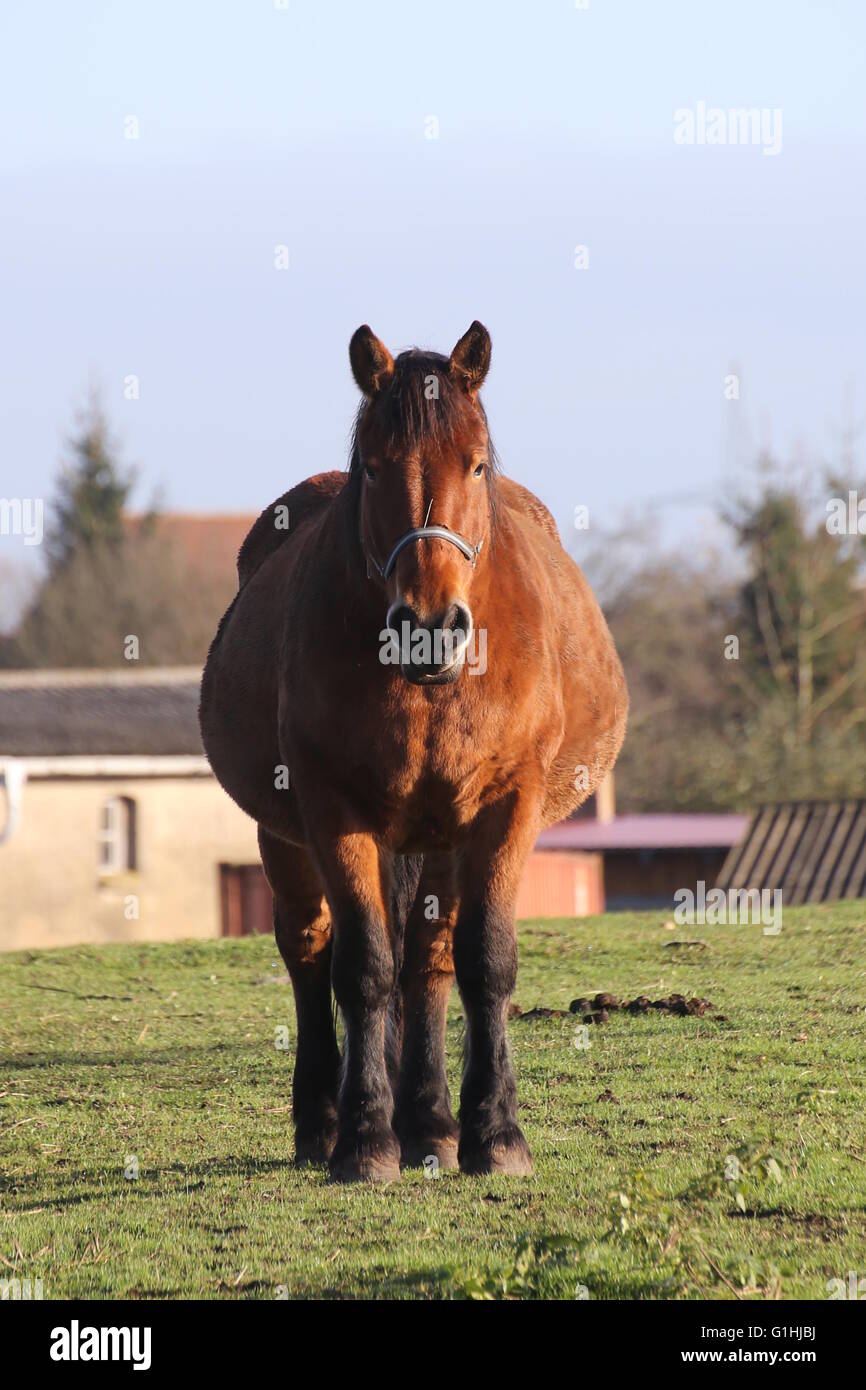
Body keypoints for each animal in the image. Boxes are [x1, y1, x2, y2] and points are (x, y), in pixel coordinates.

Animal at [199, 321, 628, 1182]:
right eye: (373, 465)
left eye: (477, 462)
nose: (430, 625)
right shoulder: (333, 813)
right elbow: (362, 967)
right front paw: (366, 1139)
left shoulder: (505, 807)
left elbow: (483, 959)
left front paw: (496, 1133)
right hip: (285, 838)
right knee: (310, 950)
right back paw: (325, 1122)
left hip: (440, 838)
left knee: (428, 960)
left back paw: (431, 1124)